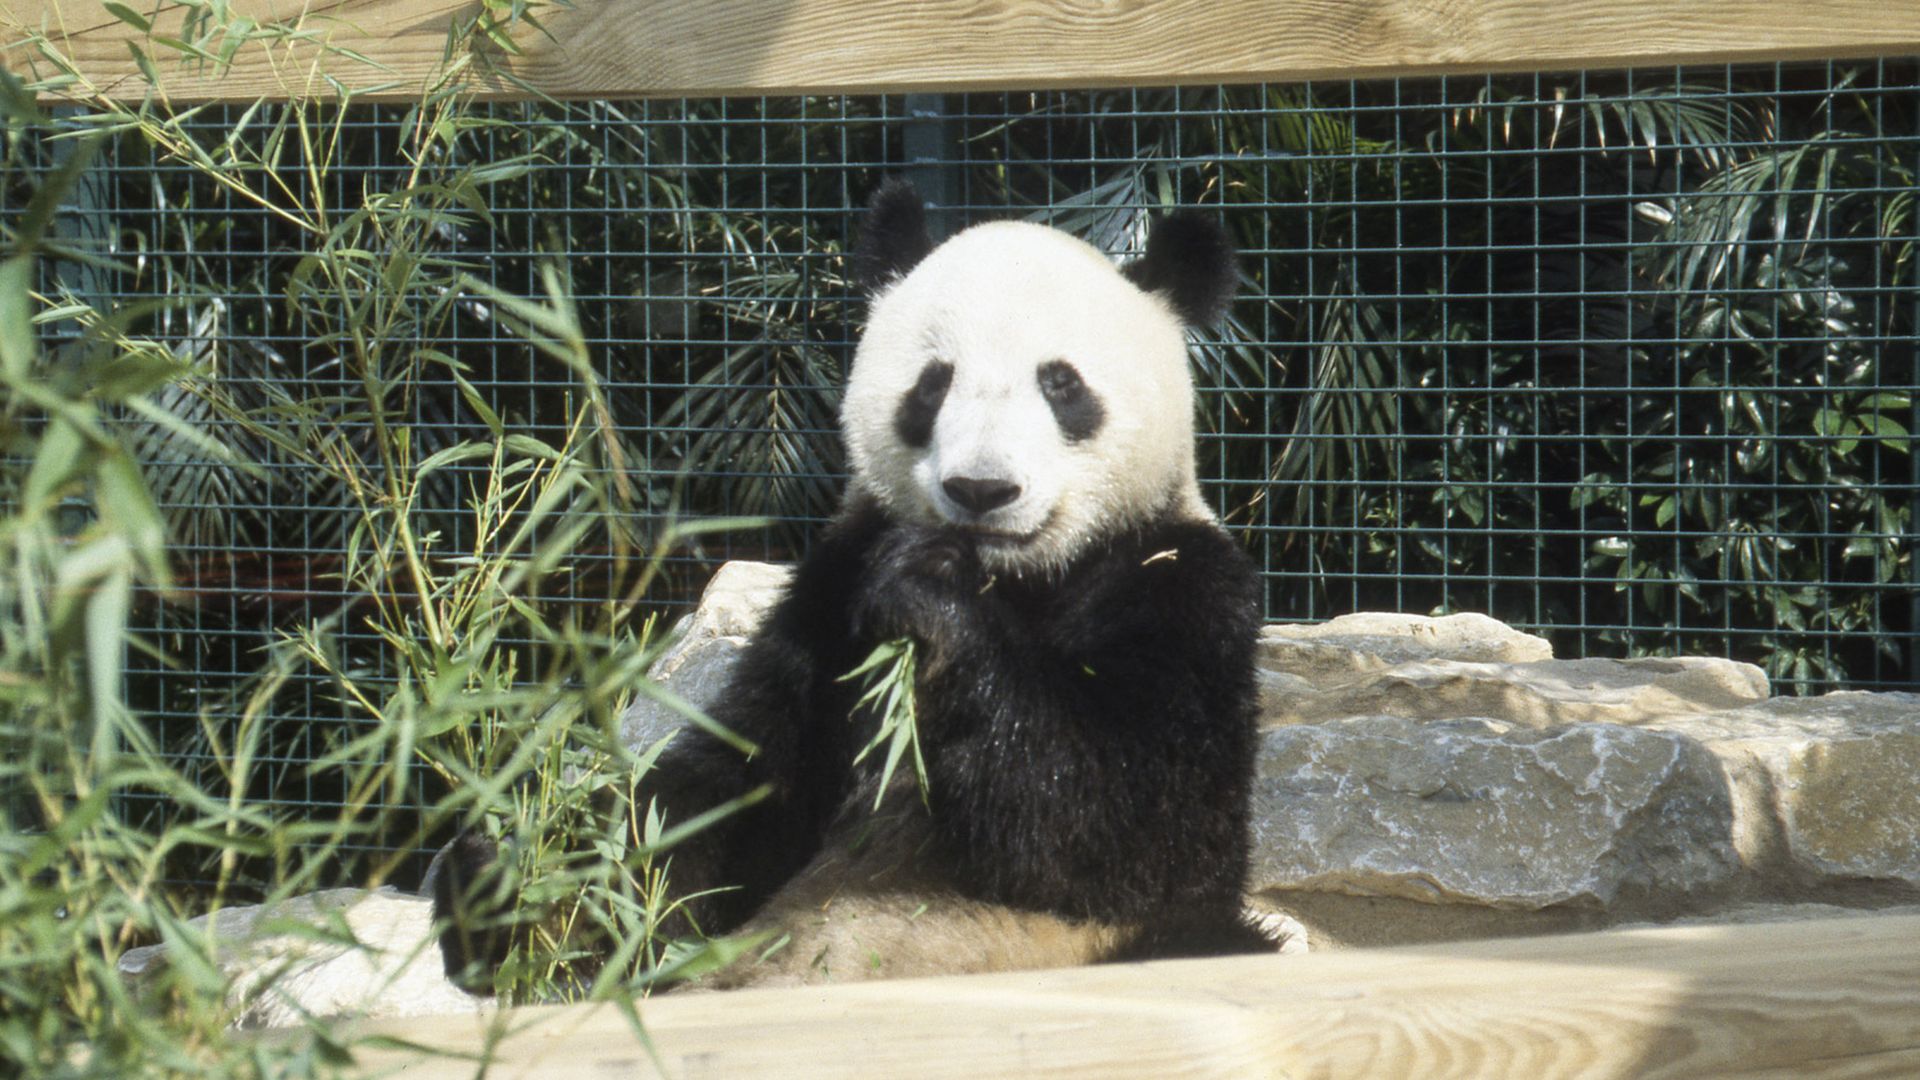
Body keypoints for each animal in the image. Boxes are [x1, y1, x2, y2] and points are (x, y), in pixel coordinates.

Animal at [437, 180, 1269, 989]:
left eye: (1061, 385)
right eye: (933, 386)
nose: (981, 491)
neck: (1014, 576)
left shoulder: (1181, 584)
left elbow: (1132, 823)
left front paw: (930, 600)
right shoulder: (827, 598)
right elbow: (731, 793)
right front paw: (520, 897)